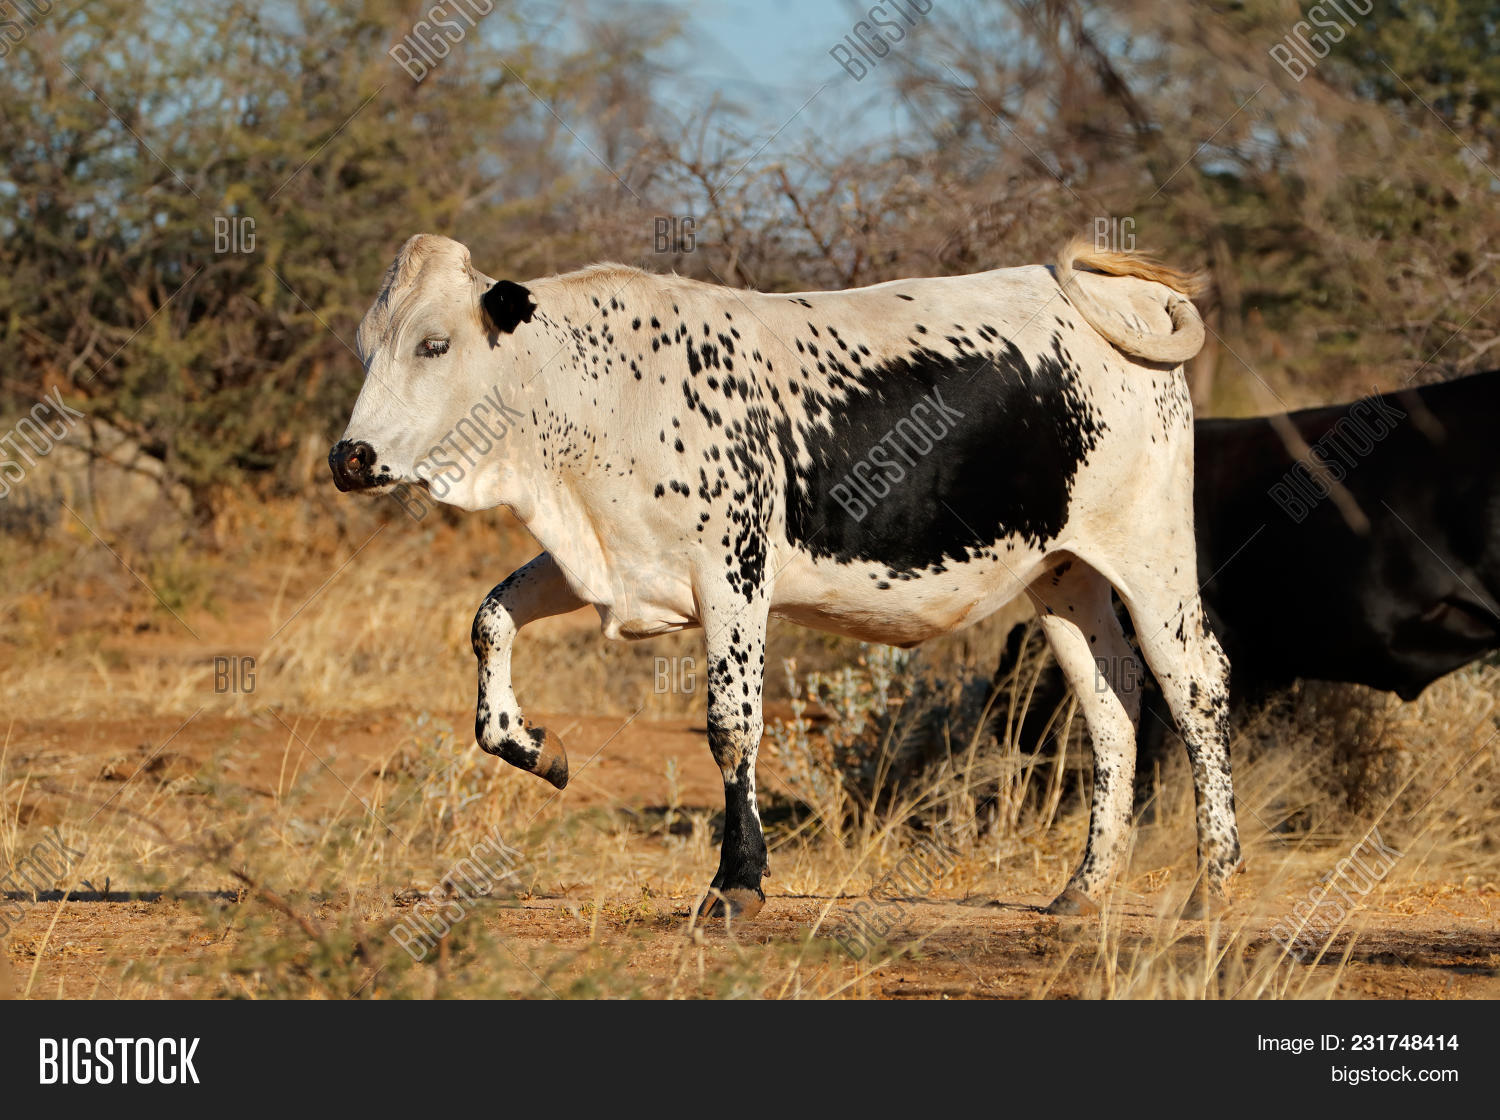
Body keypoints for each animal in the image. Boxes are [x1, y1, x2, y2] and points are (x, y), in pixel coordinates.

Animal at [329, 233, 1238, 919]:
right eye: (368, 348)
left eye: (434, 343)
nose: (351, 457)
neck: (599, 394)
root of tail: (1121, 302)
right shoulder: (606, 562)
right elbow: (490, 621)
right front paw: (537, 749)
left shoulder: (734, 573)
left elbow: (731, 727)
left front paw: (737, 881)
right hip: (1063, 574)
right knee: (1112, 705)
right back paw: (1085, 888)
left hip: (1151, 556)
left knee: (1195, 688)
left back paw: (1214, 883)